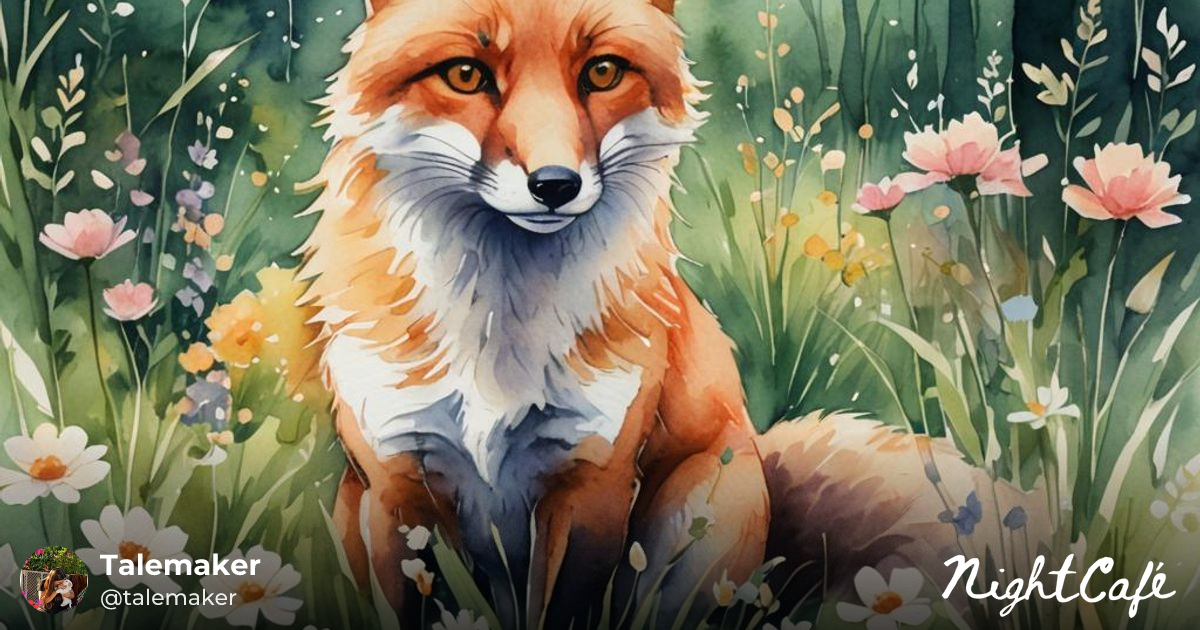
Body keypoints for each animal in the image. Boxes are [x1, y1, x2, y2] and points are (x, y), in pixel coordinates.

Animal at [298, 0, 1046, 627]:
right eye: (465, 74)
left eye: (601, 72)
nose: (555, 185)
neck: (499, 338)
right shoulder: (395, 488)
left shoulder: (592, 481)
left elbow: (564, 610)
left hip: (698, 524)